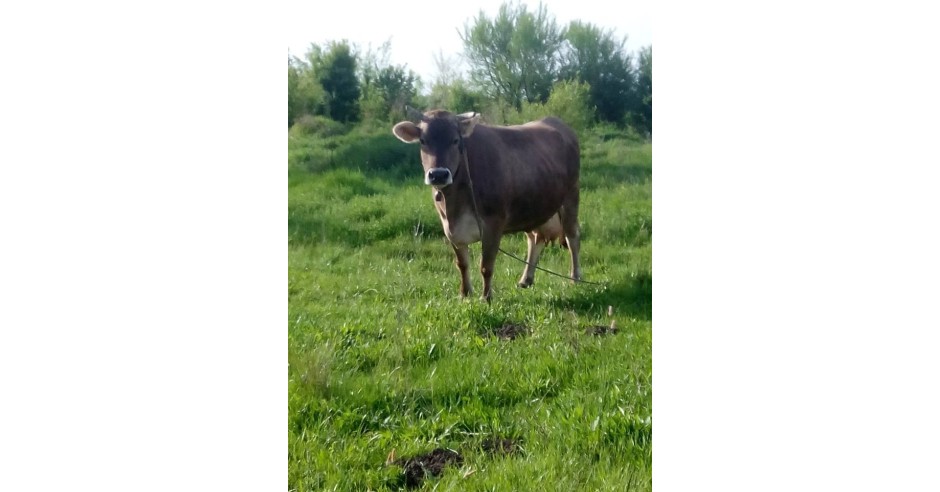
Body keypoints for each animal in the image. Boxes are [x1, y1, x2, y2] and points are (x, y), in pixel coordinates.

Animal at [392, 108, 582, 301]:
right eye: (423, 141)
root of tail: (559, 124)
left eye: (455, 140)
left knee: (572, 237)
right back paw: (525, 279)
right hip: (534, 206)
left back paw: (575, 278)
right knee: (536, 239)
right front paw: (465, 294)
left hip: (571, 197)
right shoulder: (450, 228)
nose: (438, 175)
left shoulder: (493, 224)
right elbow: (462, 264)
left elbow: (486, 266)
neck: (455, 201)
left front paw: (486, 297)